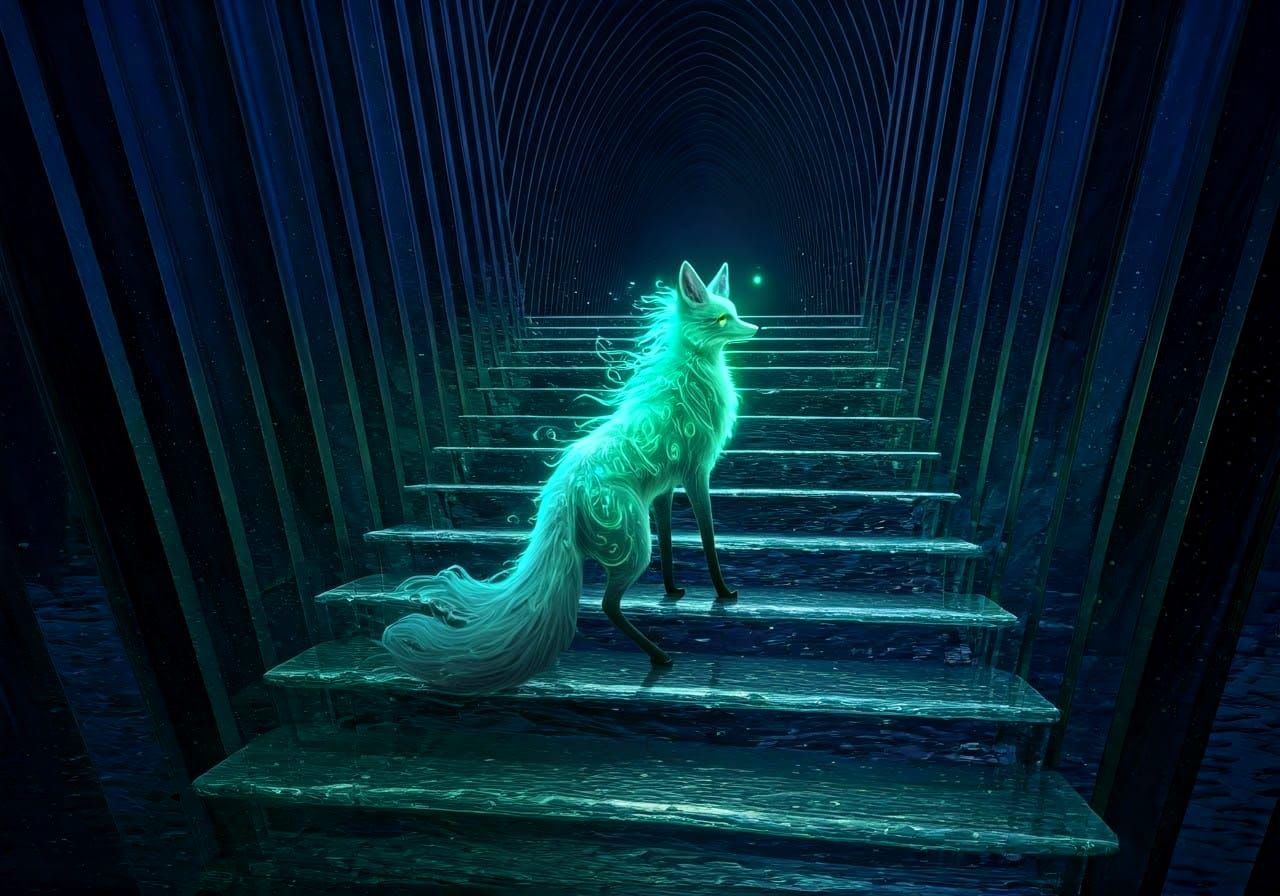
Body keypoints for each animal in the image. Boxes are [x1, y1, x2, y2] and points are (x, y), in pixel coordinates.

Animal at [381, 260, 758, 695]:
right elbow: (709, 540)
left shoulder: (664, 489)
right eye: (722, 319)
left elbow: (669, 543)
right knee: (607, 604)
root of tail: (561, 488)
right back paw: (659, 656)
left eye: (735, 312)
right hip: (633, 544)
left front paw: (672, 589)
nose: (755, 328)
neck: (689, 379)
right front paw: (723, 591)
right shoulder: (696, 473)